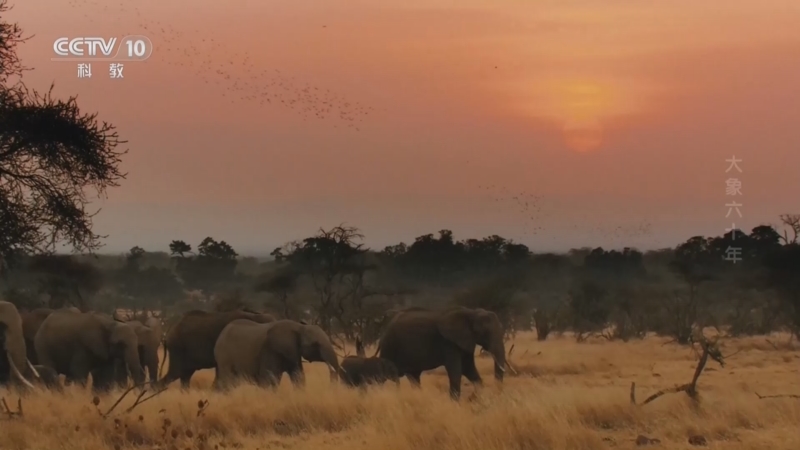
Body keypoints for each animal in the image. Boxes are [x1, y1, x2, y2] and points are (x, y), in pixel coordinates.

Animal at [213, 319, 343, 390]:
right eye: (315, 344)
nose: (330, 389)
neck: (300, 327)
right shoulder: (270, 350)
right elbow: (270, 380)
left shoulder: (293, 352)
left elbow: (298, 376)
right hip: (224, 356)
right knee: (227, 380)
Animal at [376, 306, 508, 400]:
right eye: (485, 332)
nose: (498, 393)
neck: (471, 313)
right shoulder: (448, 343)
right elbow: (456, 371)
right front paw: (455, 403)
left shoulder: (465, 341)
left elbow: (469, 369)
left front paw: (477, 397)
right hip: (389, 346)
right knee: (382, 376)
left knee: (414, 377)